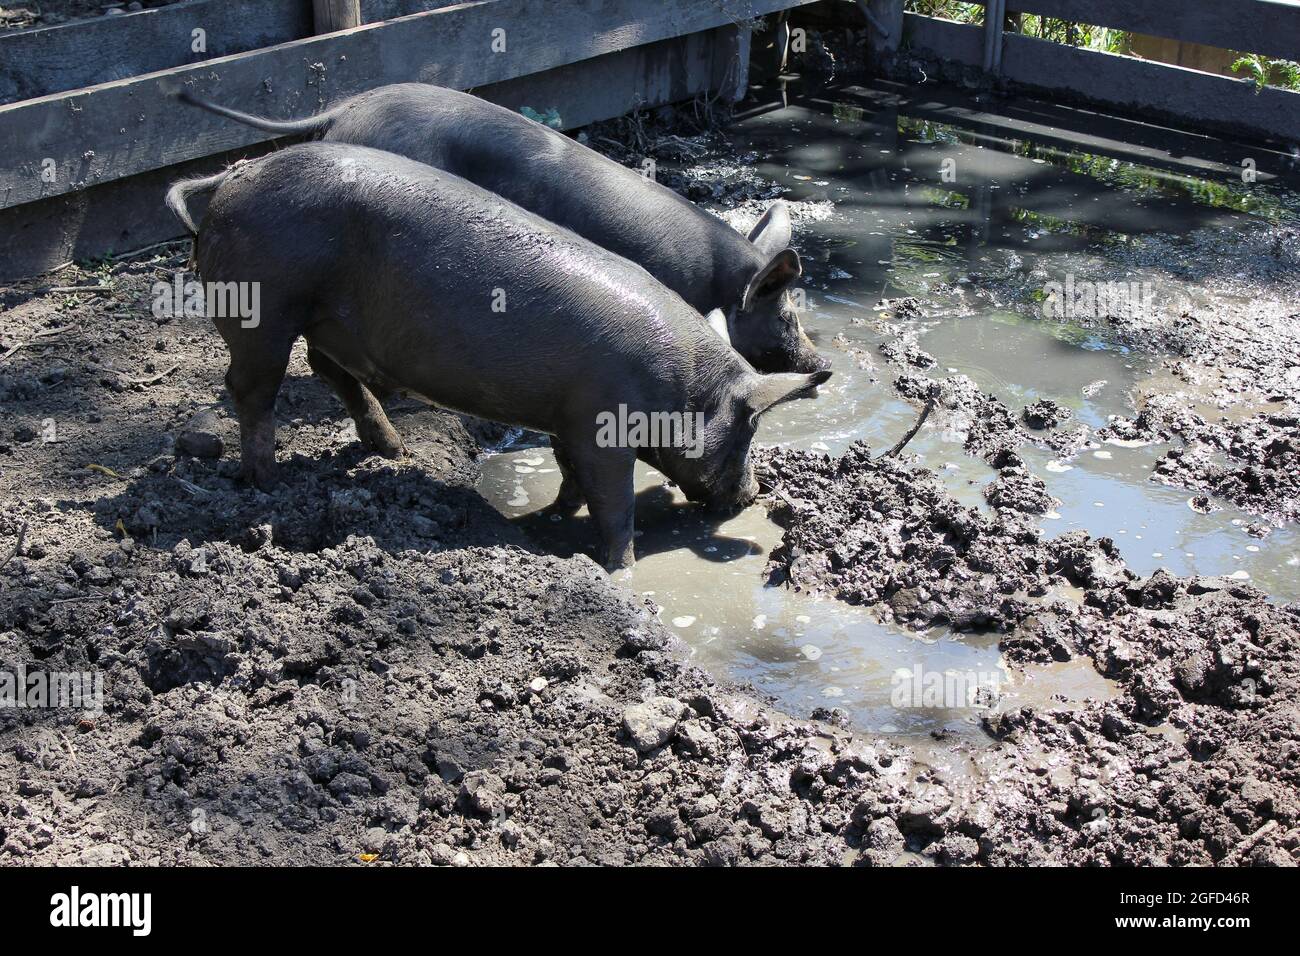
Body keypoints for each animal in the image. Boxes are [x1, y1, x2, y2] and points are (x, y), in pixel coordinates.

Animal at [165, 143, 830, 570]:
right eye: (749, 428)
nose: (753, 494)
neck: (680, 387)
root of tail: (232, 178)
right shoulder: (605, 424)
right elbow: (613, 499)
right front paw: (621, 567)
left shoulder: (568, 415)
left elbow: (569, 473)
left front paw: (556, 517)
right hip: (264, 304)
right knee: (250, 387)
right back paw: (266, 480)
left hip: (322, 320)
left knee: (329, 372)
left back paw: (391, 450)